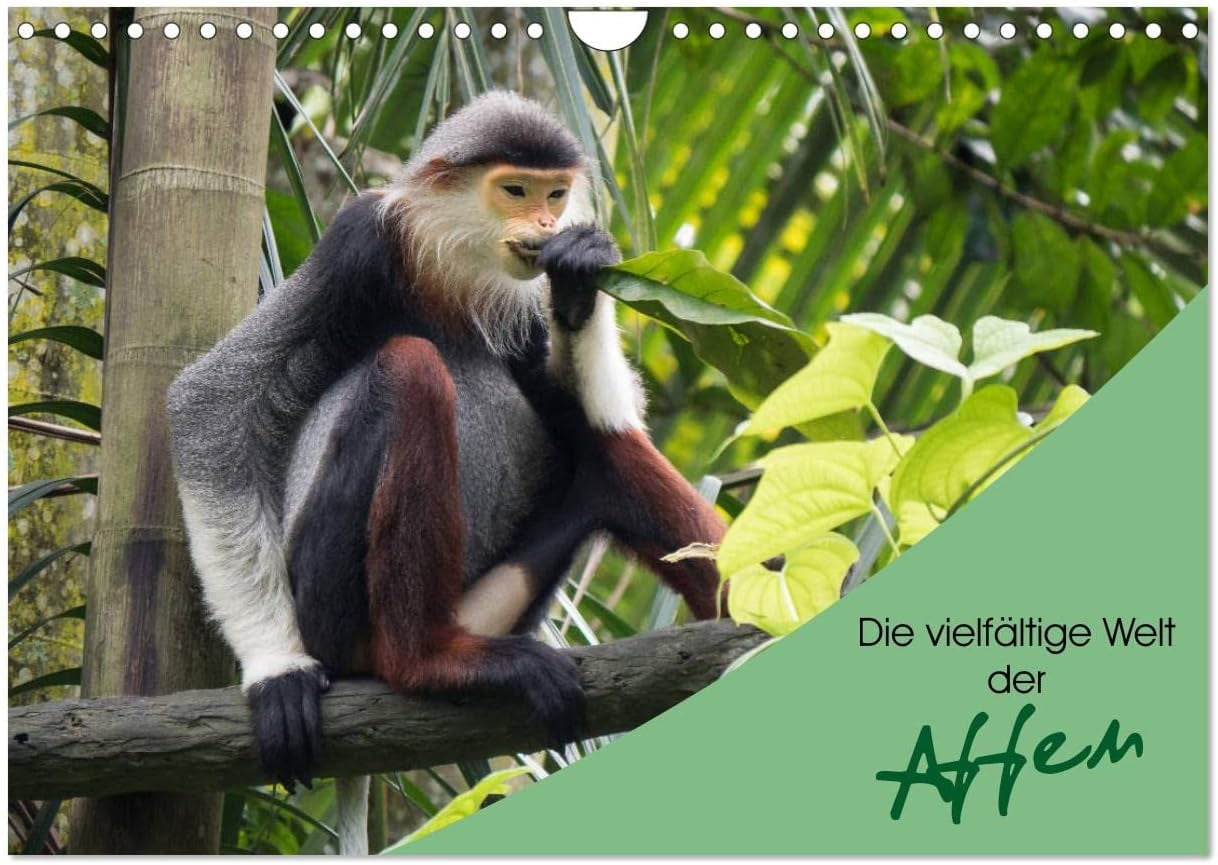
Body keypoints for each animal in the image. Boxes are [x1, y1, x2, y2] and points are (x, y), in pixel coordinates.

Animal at [165, 91, 727, 851]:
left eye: (555, 196)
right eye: (515, 191)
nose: (546, 224)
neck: (453, 270)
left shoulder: (522, 300)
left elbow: (601, 414)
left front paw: (580, 278)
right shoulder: (358, 243)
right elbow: (207, 404)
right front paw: (275, 671)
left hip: (492, 602)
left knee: (600, 450)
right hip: (332, 605)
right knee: (412, 368)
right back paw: (427, 661)